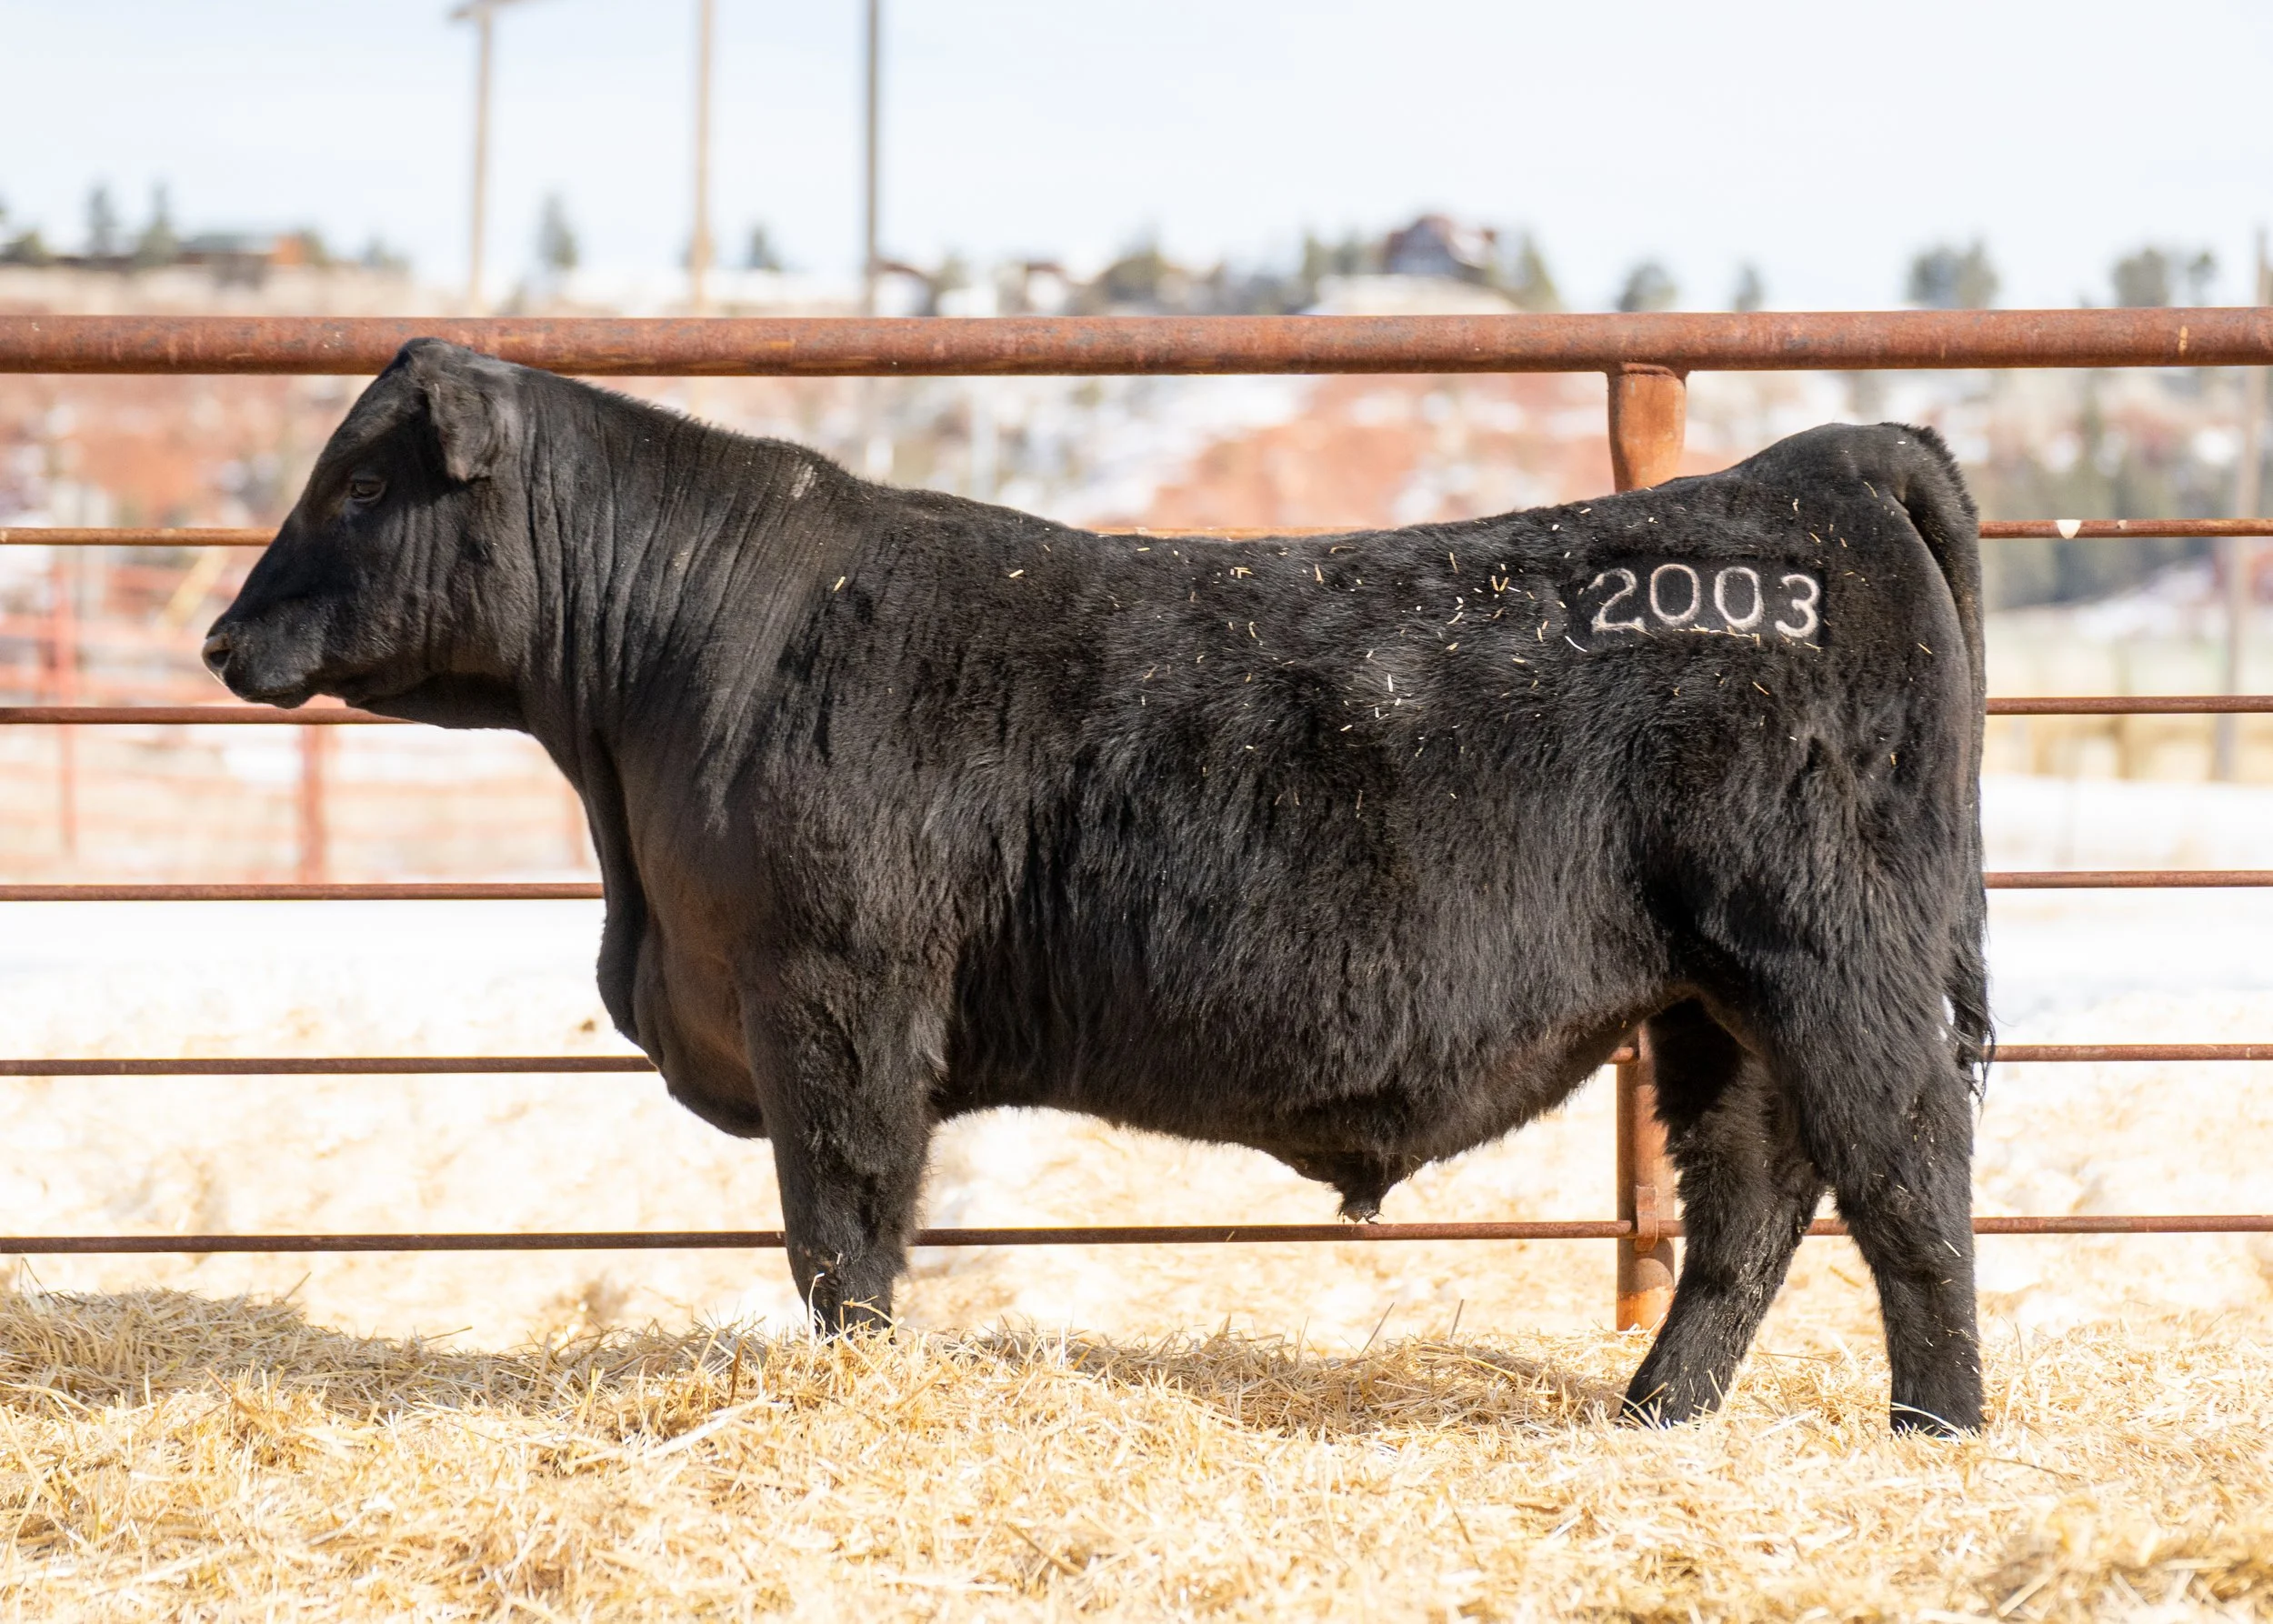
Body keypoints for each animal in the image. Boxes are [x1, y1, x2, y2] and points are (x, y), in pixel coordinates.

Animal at [204, 339, 1990, 1433]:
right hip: (1715, 1001)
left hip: (1832, 958)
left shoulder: (834, 998)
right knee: (1752, 1201)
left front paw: (855, 1395)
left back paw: (1938, 1427)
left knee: (1908, 1171)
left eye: (358, 484)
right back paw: (1651, 1417)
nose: (223, 637)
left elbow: (843, 1227)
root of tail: (1822, 463)